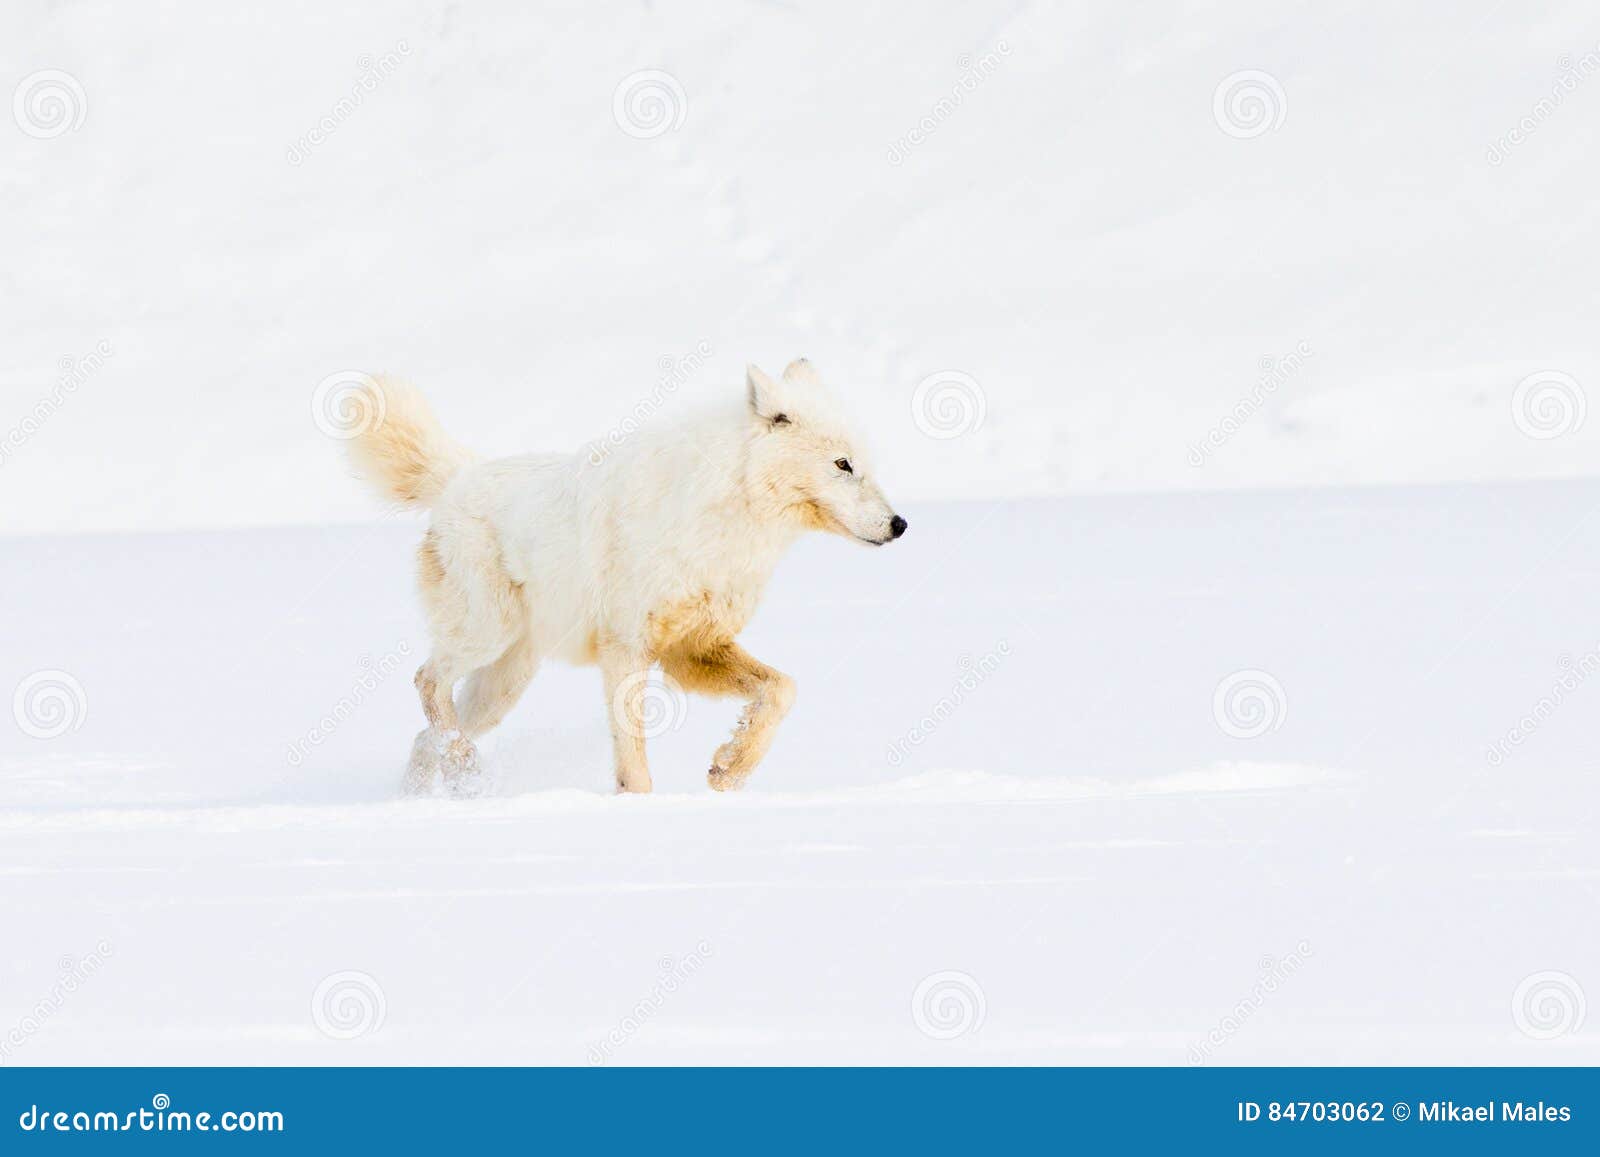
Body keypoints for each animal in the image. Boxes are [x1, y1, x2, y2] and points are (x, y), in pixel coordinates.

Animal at [348, 359, 907, 795]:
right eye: (842, 464)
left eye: (866, 465)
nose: (900, 524)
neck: (722, 518)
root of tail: (459, 476)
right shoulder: (627, 646)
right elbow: (634, 761)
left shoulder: (693, 649)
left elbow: (782, 691)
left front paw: (729, 768)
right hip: (486, 635)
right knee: (425, 682)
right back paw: (467, 775)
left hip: (505, 684)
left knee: (426, 733)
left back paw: (428, 794)